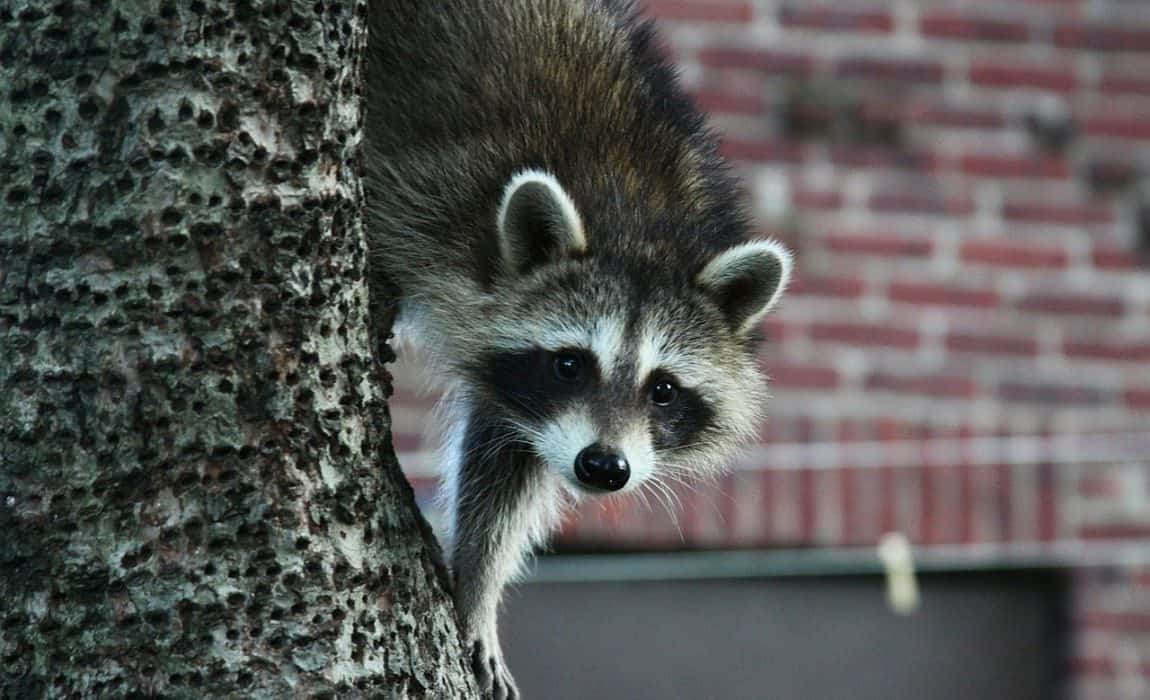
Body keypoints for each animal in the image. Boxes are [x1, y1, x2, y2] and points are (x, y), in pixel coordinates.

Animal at [365, 1, 791, 696]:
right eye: (570, 364)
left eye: (664, 388)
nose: (603, 467)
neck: (639, 226)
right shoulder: (427, 195)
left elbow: (507, 465)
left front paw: (476, 584)